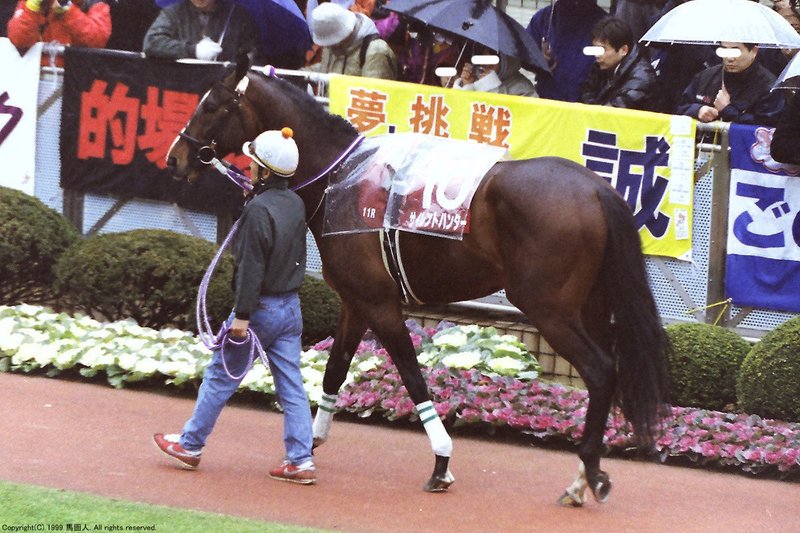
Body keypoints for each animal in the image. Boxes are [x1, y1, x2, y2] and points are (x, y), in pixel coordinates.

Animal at [166, 55, 670, 506]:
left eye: (212, 105)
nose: (175, 158)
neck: (342, 180)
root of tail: (597, 189)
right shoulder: (355, 302)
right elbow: (334, 372)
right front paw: (308, 446)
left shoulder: (381, 303)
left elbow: (411, 376)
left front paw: (442, 463)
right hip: (590, 307)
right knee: (607, 371)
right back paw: (584, 479)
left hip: (548, 309)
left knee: (601, 371)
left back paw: (587, 474)